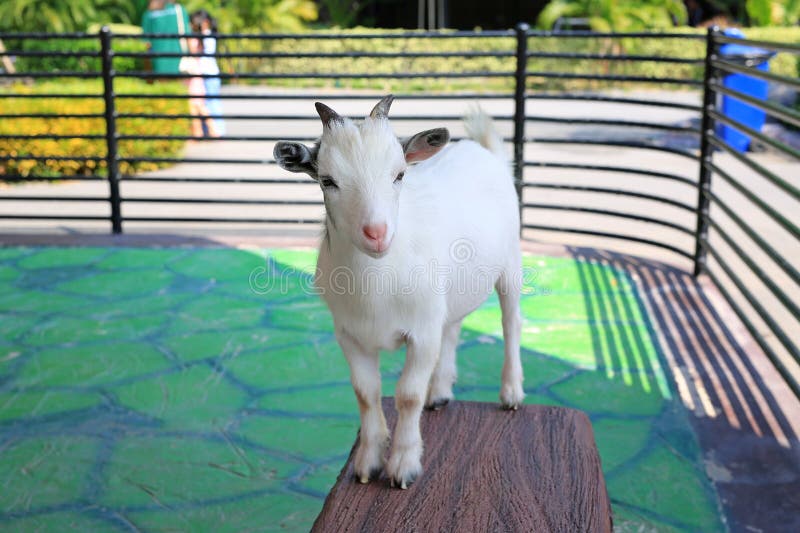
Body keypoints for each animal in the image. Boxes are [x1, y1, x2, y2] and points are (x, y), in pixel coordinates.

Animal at [273, 96, 523, 489]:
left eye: (400, 174)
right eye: (328, 181)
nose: (376, 233)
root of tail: (485, 151)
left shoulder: (421, 333)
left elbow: (407, 395)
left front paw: (403, 466)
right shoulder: (349, 335)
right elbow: (366, 392)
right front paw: (367, 463)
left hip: (511, 260)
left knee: (511, 321)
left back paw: (511, 392)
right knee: (453, 328)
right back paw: (440, 393)